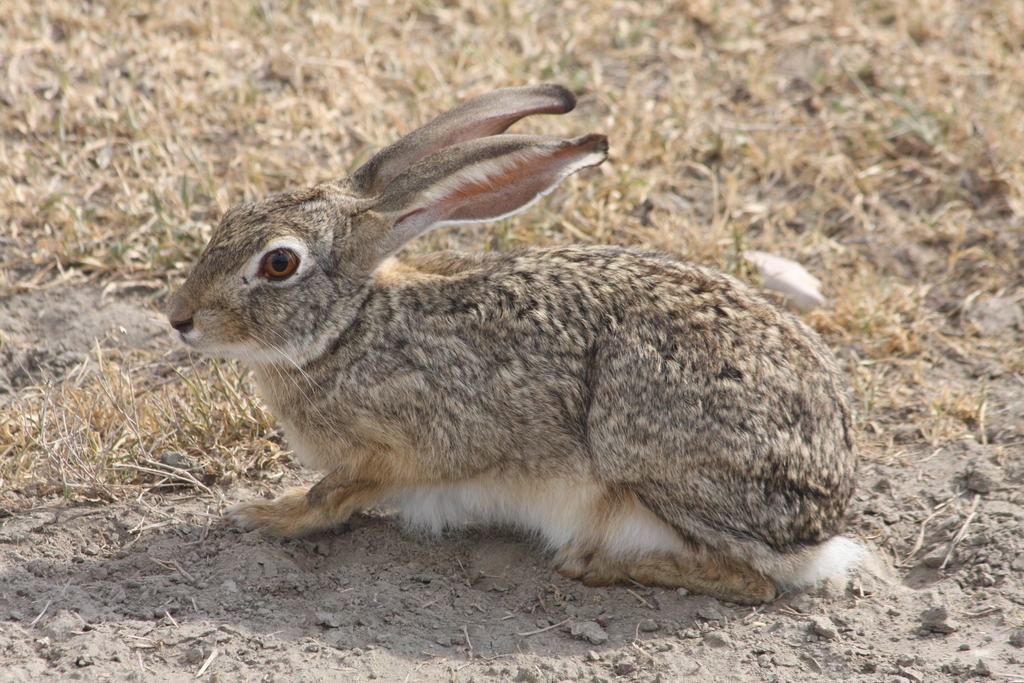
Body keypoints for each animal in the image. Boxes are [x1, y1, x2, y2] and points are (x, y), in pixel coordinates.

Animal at [165, 84, 860, 605]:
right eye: (232, 216)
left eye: (279, 264)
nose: (179, 318)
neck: (348, 327)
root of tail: (820, 527)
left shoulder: (398, 451)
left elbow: (330, 496)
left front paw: (265, 515)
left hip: (652, 472)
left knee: (751, 581)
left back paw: (596, 563)